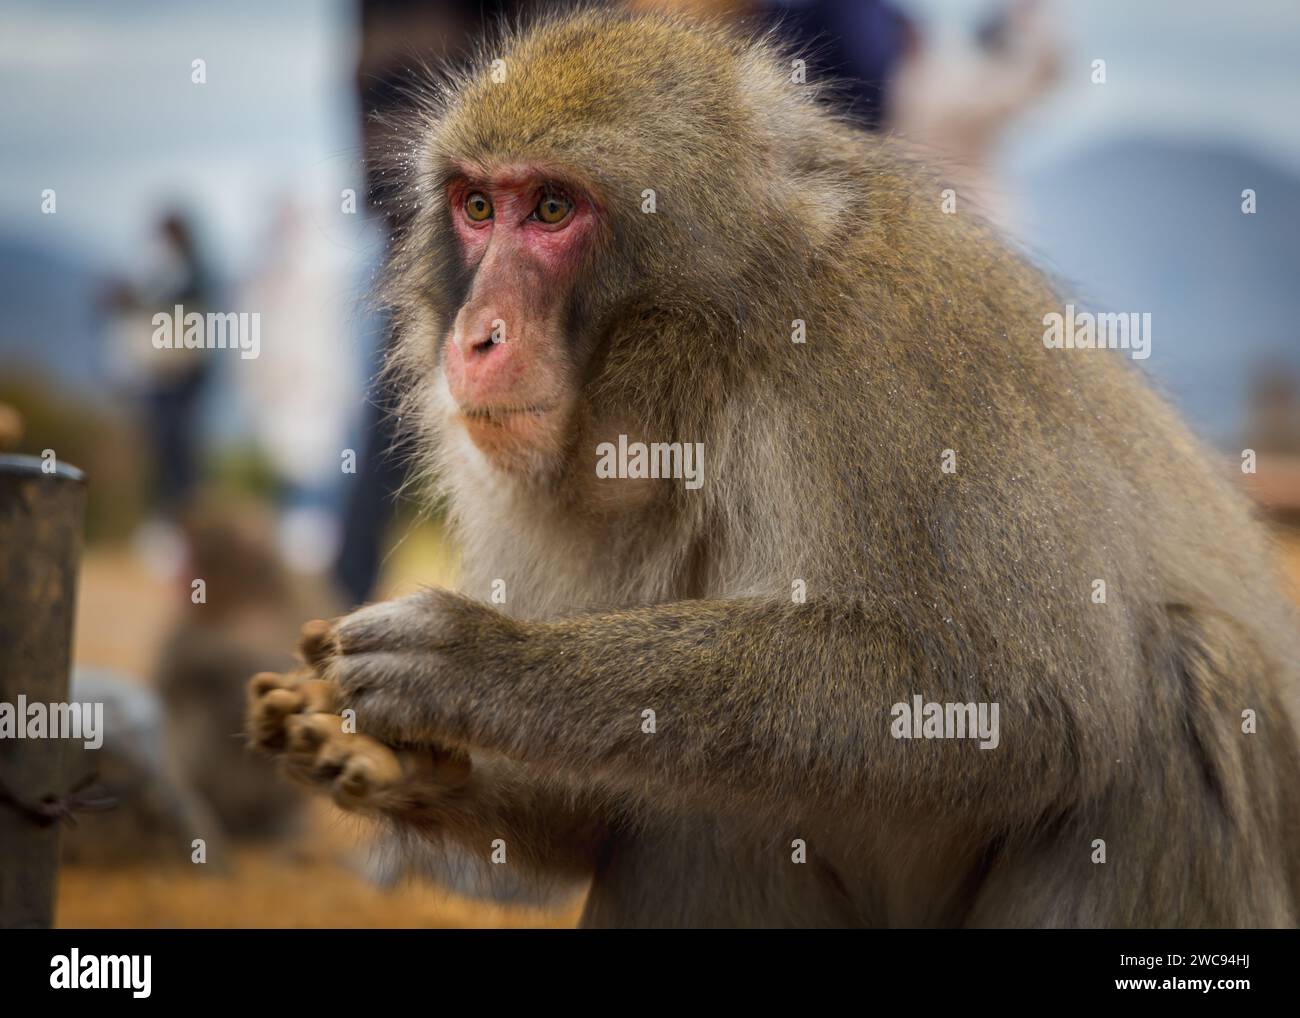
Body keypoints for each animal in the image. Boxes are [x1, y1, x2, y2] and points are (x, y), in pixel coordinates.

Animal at [247, 9, 1300, 928]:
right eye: (475, 207)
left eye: (550, 207)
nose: (475, 337)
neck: (714, 362)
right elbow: (590, 817)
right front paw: (403, 765)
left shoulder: (892, 355)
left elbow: (1033, 699)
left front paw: (482, 661)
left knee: (1183, 681)